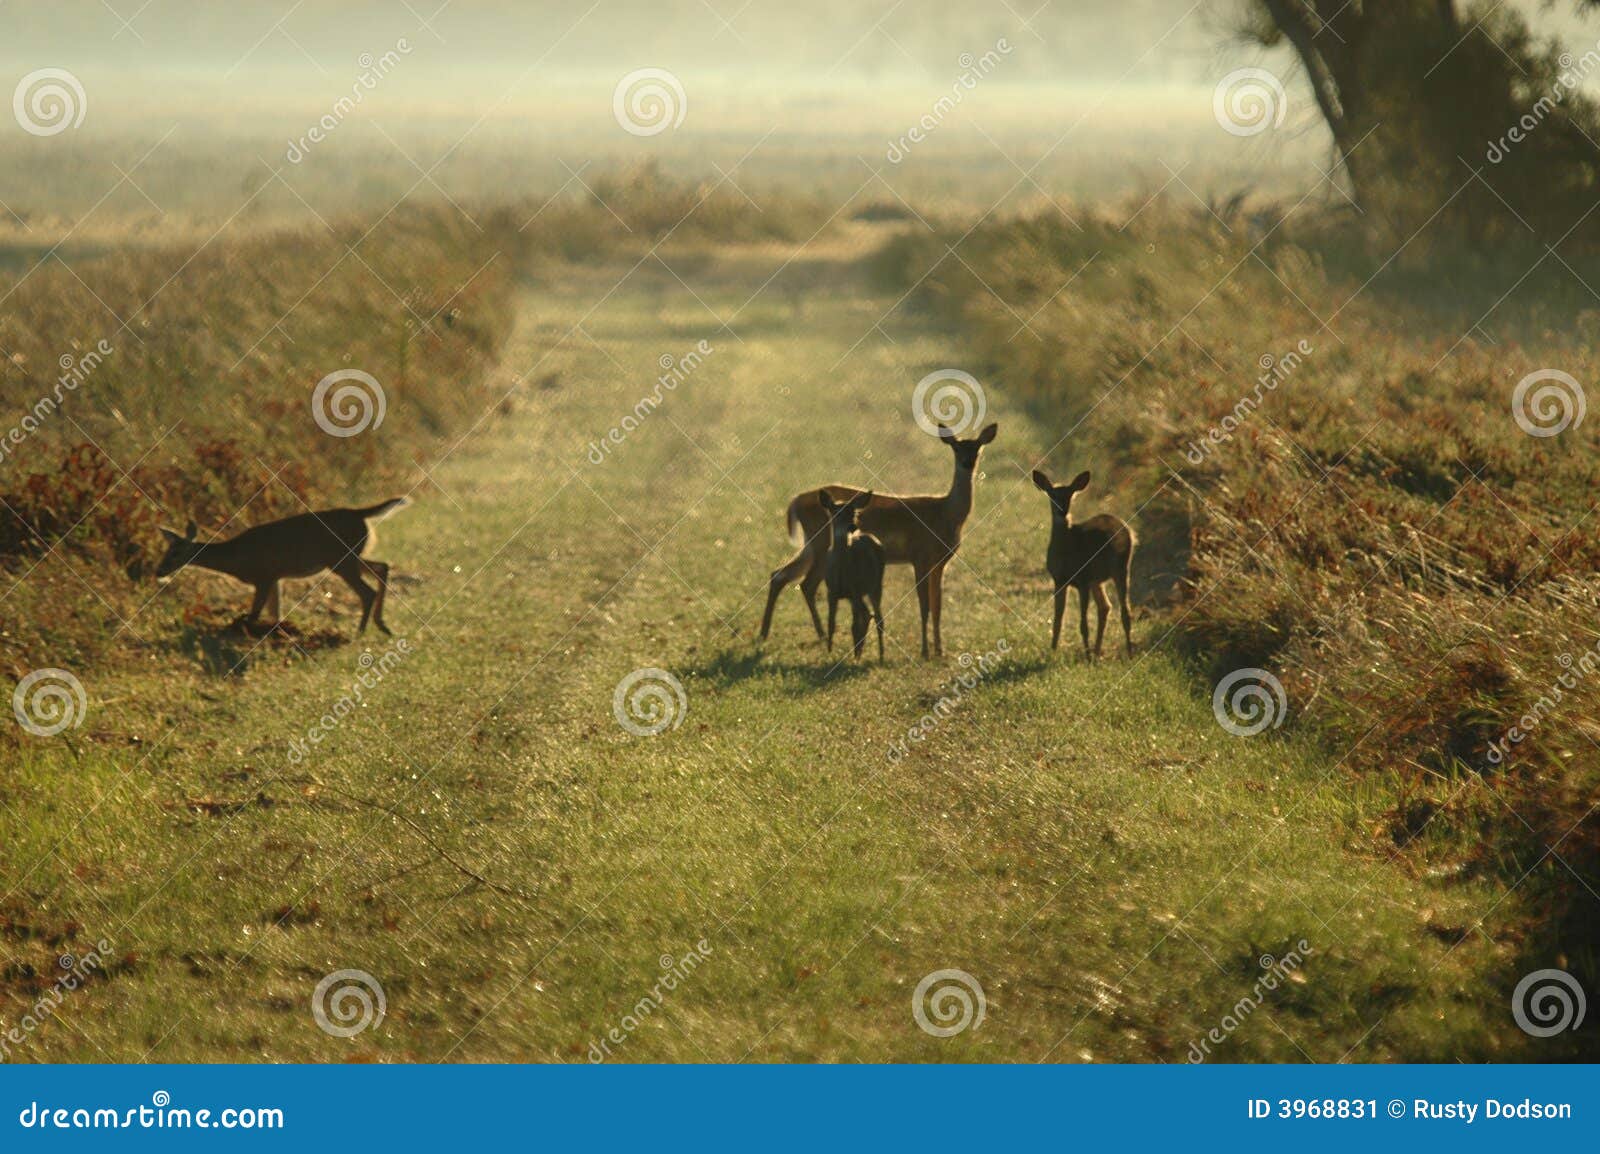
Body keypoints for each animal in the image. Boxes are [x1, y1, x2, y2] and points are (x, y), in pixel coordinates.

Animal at [155, 498, 406, 635]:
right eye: (166, 550)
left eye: (175, 553)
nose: (158, 571)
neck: (235, 558)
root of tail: (359, 513)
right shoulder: (275, 577)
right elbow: (275, 613)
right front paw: (279, 632)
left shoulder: (263, 576)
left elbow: (256, 613)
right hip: (350, 556)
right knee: (383, 567)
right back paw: (382, 625)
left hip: (342, 559)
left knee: (367, 591)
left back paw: (361, 631)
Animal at [820, 490, 885, 661]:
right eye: (836, 512)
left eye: (854, 513)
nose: (852, 526)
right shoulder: (832, 591)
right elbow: (831, 623)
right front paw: (829, 652)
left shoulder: (855, 589)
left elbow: (854, 625)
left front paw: (854, 658)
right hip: (858, 593)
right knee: (867, 614)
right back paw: (860, 651)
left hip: (875, 585)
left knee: (878, 618)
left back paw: (880, 655)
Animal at [1032, 469, 1134, 658]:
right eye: (1052, 495)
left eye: (1070, 494)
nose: (1062, 511)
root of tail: (1126, 527)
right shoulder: (1059, 580)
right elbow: (1057, 619)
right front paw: (1053, 651)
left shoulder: (1083, 580)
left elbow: (1083, 624)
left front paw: (1086, 656)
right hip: (1097, 579)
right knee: (1105, 607)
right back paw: (1097, 651)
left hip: (1121, 567)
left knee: (1125, 611)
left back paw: (1129, 653)